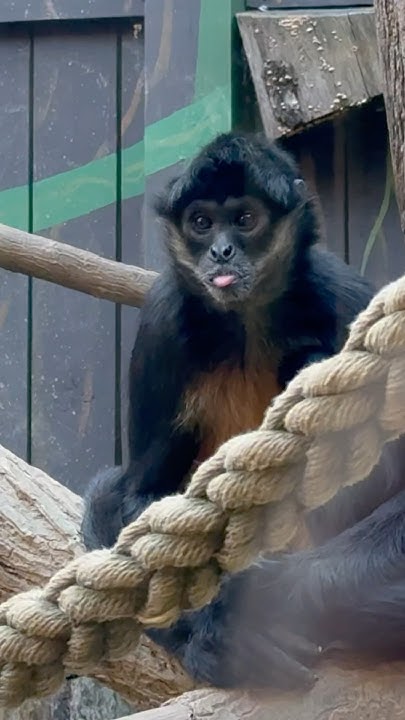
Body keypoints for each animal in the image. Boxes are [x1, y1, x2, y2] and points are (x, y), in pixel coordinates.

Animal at [82, 132, 405, 690]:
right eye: (201, 222)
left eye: (245, 219)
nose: (221, 251)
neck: (247, 321)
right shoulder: (164, 318)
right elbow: (140, 492)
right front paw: (223, 627)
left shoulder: (340, 292)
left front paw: (271, 598)